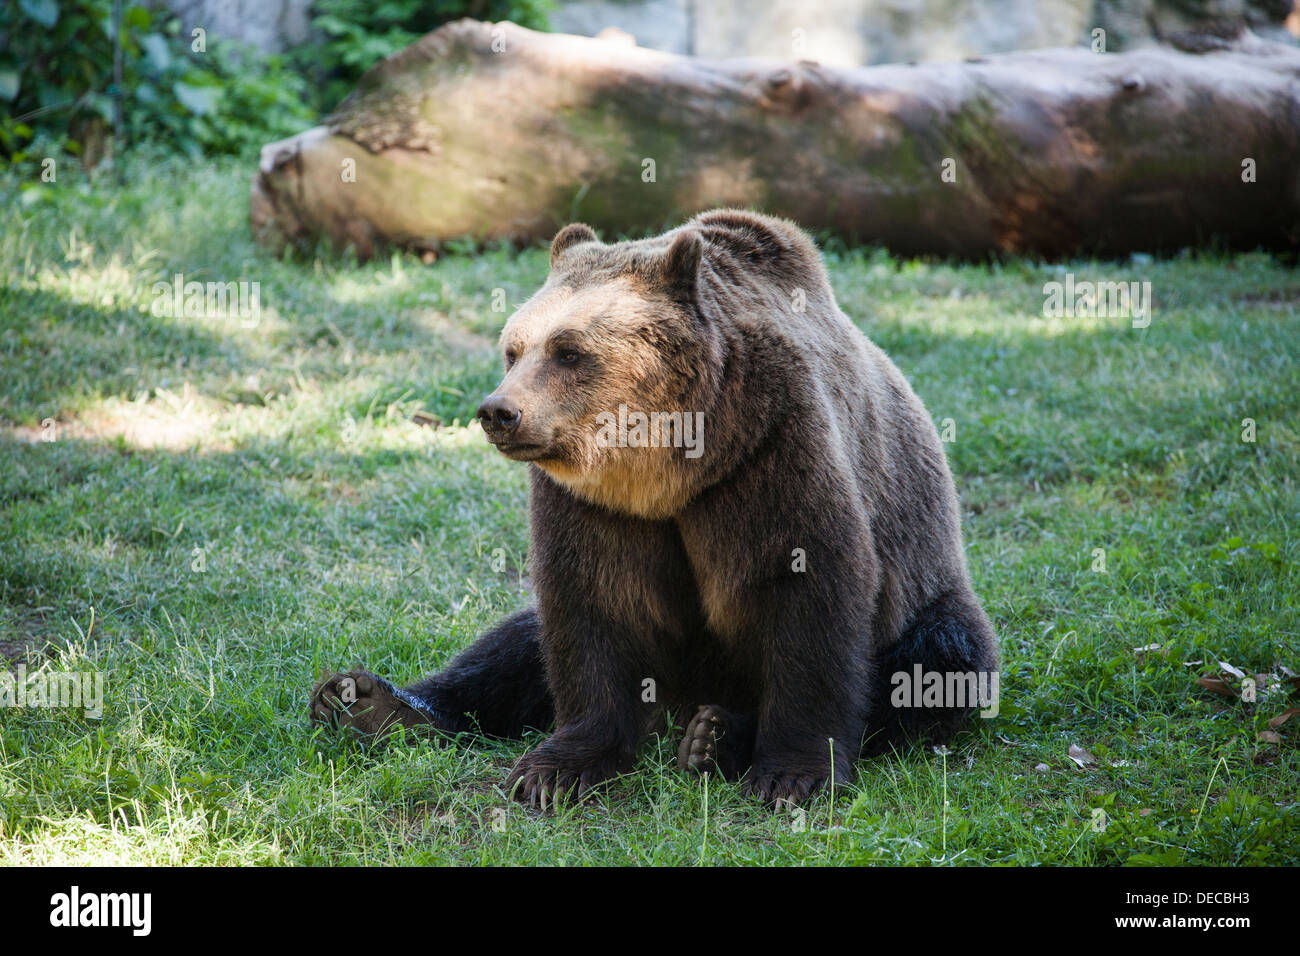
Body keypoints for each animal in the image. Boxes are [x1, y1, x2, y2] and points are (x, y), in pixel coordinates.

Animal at [309, 209, 999, 807]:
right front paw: (556, 770)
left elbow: (808, 593)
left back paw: (715, 738)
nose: (499, 411)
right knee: (512, 644)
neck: (673, 467)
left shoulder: (772, 451)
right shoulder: (593, 503)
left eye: (567, 350)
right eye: (513, 348)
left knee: (937, 664)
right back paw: (368, 702)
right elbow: (590, 606)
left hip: (927, 598)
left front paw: (792, 774)